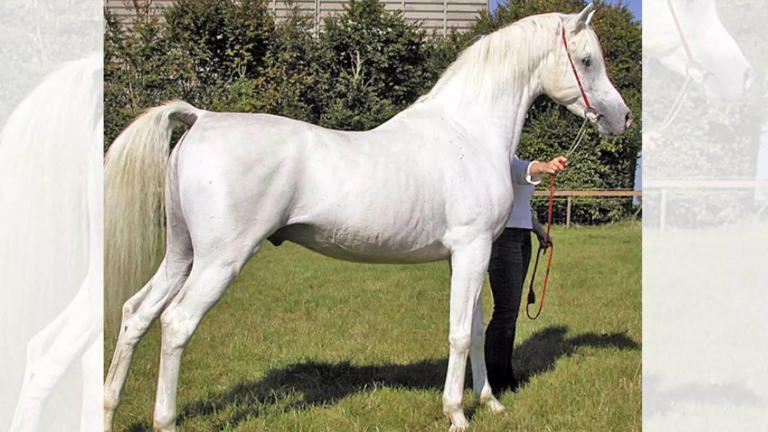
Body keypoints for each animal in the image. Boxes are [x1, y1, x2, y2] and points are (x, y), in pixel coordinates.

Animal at [103, 5, 631, 431]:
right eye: (588, 60)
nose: (621, 117)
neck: (469, 130)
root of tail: (202, 117)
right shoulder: (472, 247)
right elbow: (461, 334)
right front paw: (457, 413)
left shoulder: (467, 256)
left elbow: (477, 333)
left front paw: (489, 402)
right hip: (219, 261)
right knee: (175, 324)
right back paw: (165, 419)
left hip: (182, 255)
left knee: (137, 314)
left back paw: (107, 407)